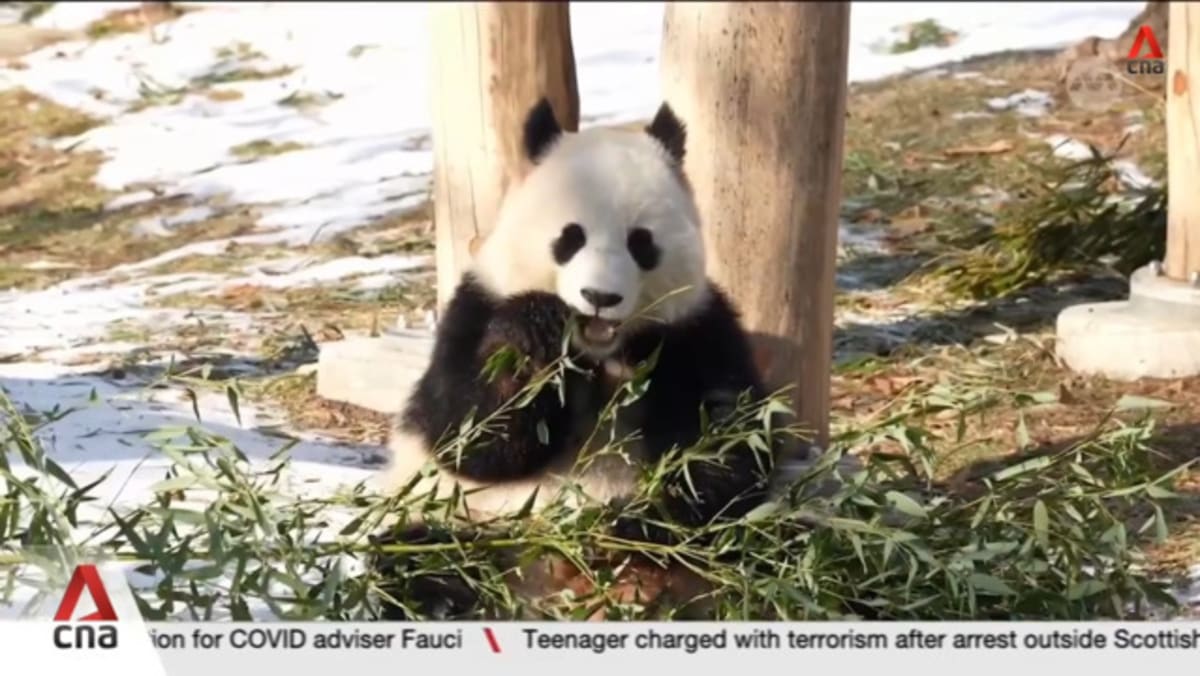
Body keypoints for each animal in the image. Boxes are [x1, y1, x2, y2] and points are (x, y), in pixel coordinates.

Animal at [368, 97, 808, 620]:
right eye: (570, 237)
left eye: (641, 242)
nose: (600, 297)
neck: (601, 353)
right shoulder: (476, 308)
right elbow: (468, 434)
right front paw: (533, 333)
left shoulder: (697, 331)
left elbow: (727, 447)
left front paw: (637, 520)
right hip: (469, 526)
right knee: (420, 557)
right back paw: (443, 599)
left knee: (785, 549)